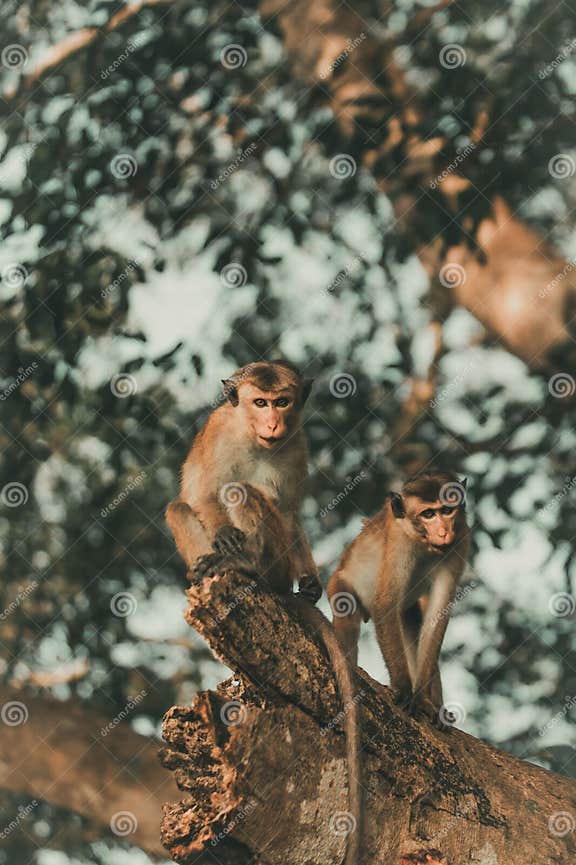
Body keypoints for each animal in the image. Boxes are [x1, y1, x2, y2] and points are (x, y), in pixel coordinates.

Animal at [166, 360, 361, 865]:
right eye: (259, 402)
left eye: (282, 402)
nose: (273, 423)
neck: (252, 437)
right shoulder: (218, 434)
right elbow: (203, 493)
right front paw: (222, 540)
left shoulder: (299, 443)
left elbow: (290, 512)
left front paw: (312, 584)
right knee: (194, 502)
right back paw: (229, 564)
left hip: (279, 561)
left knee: (255, 498)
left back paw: (257, 571)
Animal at [327, 470, 470, 728]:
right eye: (428, 514)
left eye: (447, 510)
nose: (444, 533)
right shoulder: (399, 542)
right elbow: (385, 604)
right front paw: (403, 690)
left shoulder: (461, 539)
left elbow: (437, 614)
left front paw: (423, 698)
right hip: (338, 583)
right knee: (347, 613)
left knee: (413, 627)